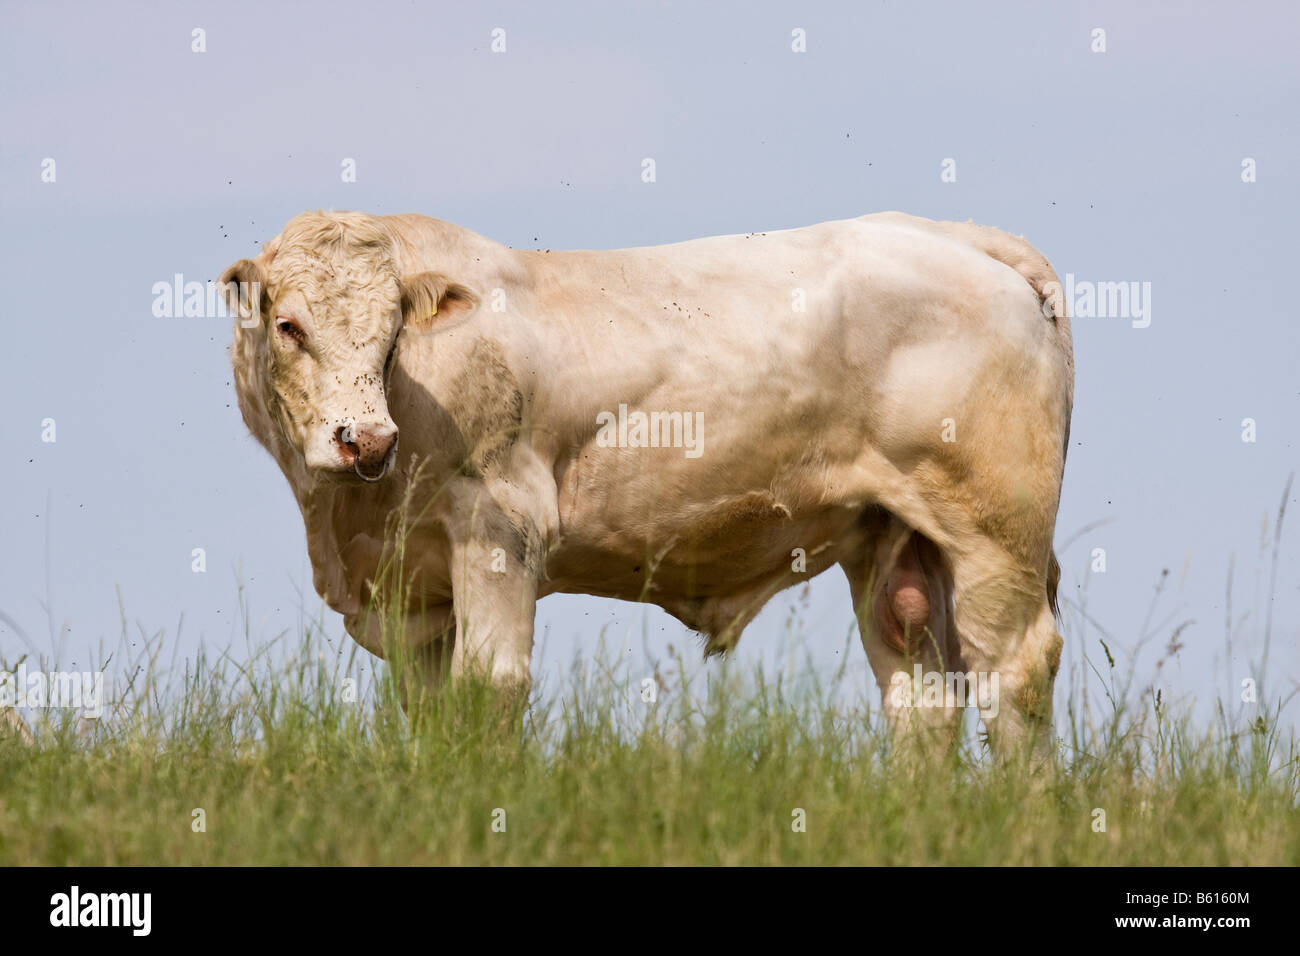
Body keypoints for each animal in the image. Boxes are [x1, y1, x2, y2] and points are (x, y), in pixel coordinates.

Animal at [220, 210, 1073, 752]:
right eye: (290, 325)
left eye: (394, 332)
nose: (366, 439)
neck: (348, 517)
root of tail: (952, 235)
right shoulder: (413, 592)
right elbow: (429, 710)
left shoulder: (500, 527)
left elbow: (489, 687)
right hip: (892, 537)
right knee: (920, 694)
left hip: (997, 531)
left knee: (1015, 673)